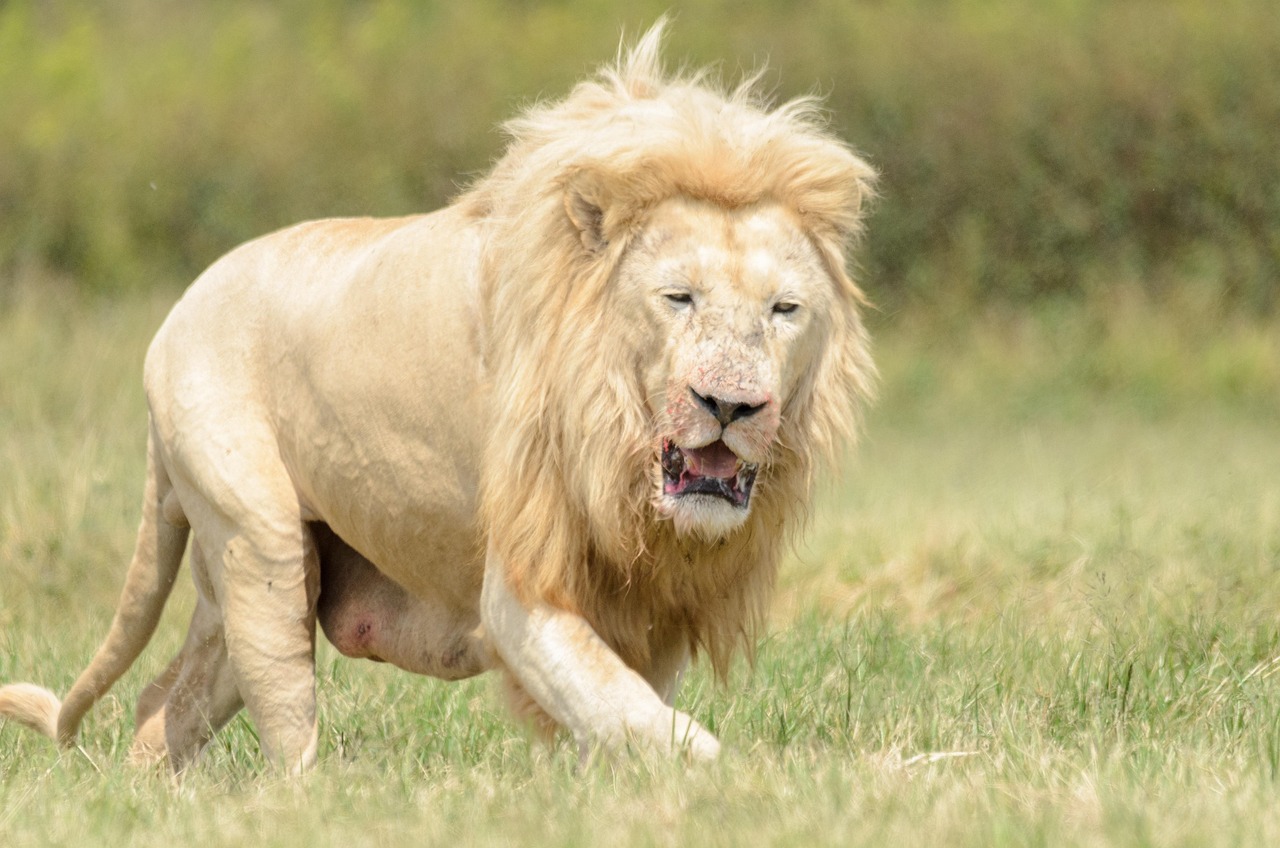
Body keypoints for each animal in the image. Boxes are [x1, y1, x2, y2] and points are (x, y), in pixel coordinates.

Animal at [0, 22, 875, 771]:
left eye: (784, 309)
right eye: (679, 298)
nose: (731, 406)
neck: (617, 453)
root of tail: (174, 316)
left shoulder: (650, 603)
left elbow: (622, 706)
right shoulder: (520, 584)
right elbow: (621, 704)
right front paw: (732, 777)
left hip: (236, 579)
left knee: (165, 704)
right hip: (259, 538)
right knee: (283, 711)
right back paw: (310, 800)